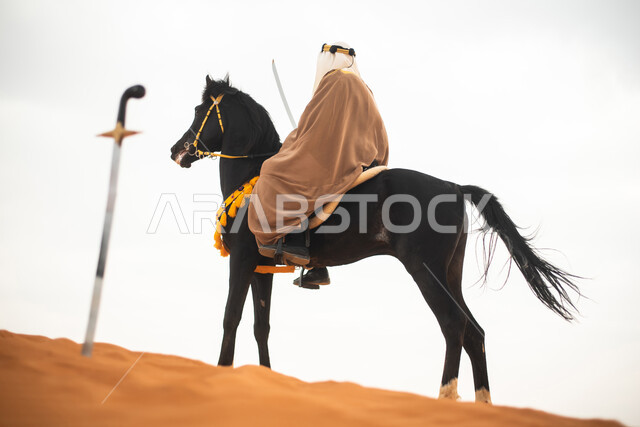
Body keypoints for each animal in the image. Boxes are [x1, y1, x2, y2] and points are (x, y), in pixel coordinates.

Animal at [170, 75, 580, 403]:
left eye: (198, 110)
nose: (176, 151)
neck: (251, 178)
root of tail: (453, 186)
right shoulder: (262, 266)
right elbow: (261, 325)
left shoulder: (242, 259)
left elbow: (231, 318)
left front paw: (220, 375)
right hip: (451, 272)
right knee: (474, 331)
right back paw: (481, 406)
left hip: (426, 269)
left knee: (453, 325)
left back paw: (445, 397)